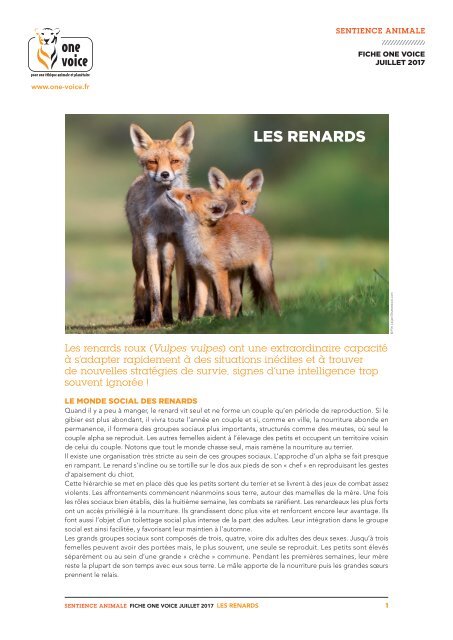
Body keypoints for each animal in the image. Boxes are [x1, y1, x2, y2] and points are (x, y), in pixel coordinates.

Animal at [125, 121, 195, 326]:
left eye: (174, 161)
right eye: (153, 162)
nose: (164, 174)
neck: (166, 215)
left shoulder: (180, 246)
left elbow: (181, 291)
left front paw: (184, 317)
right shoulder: (151, 247)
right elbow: (154, 292)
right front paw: (155, 321)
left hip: (167, 255)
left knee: (167, 284)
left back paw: (169, 317)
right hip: (139, 252)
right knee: (140, 283)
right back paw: (140, 317)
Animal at [166, 188, 280, 319]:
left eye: (188, 196)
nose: (168, 189)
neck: (200, 244)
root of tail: (259, 223)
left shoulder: (219, 272)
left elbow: (223, 300)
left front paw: (225, 319)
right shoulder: (200, 272)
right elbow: (199, 301)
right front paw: (195, 319)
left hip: (262, 274)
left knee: (273, 297)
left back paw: (279, 317)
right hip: (234, 277)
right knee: (238, 298)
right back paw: (234, 318)